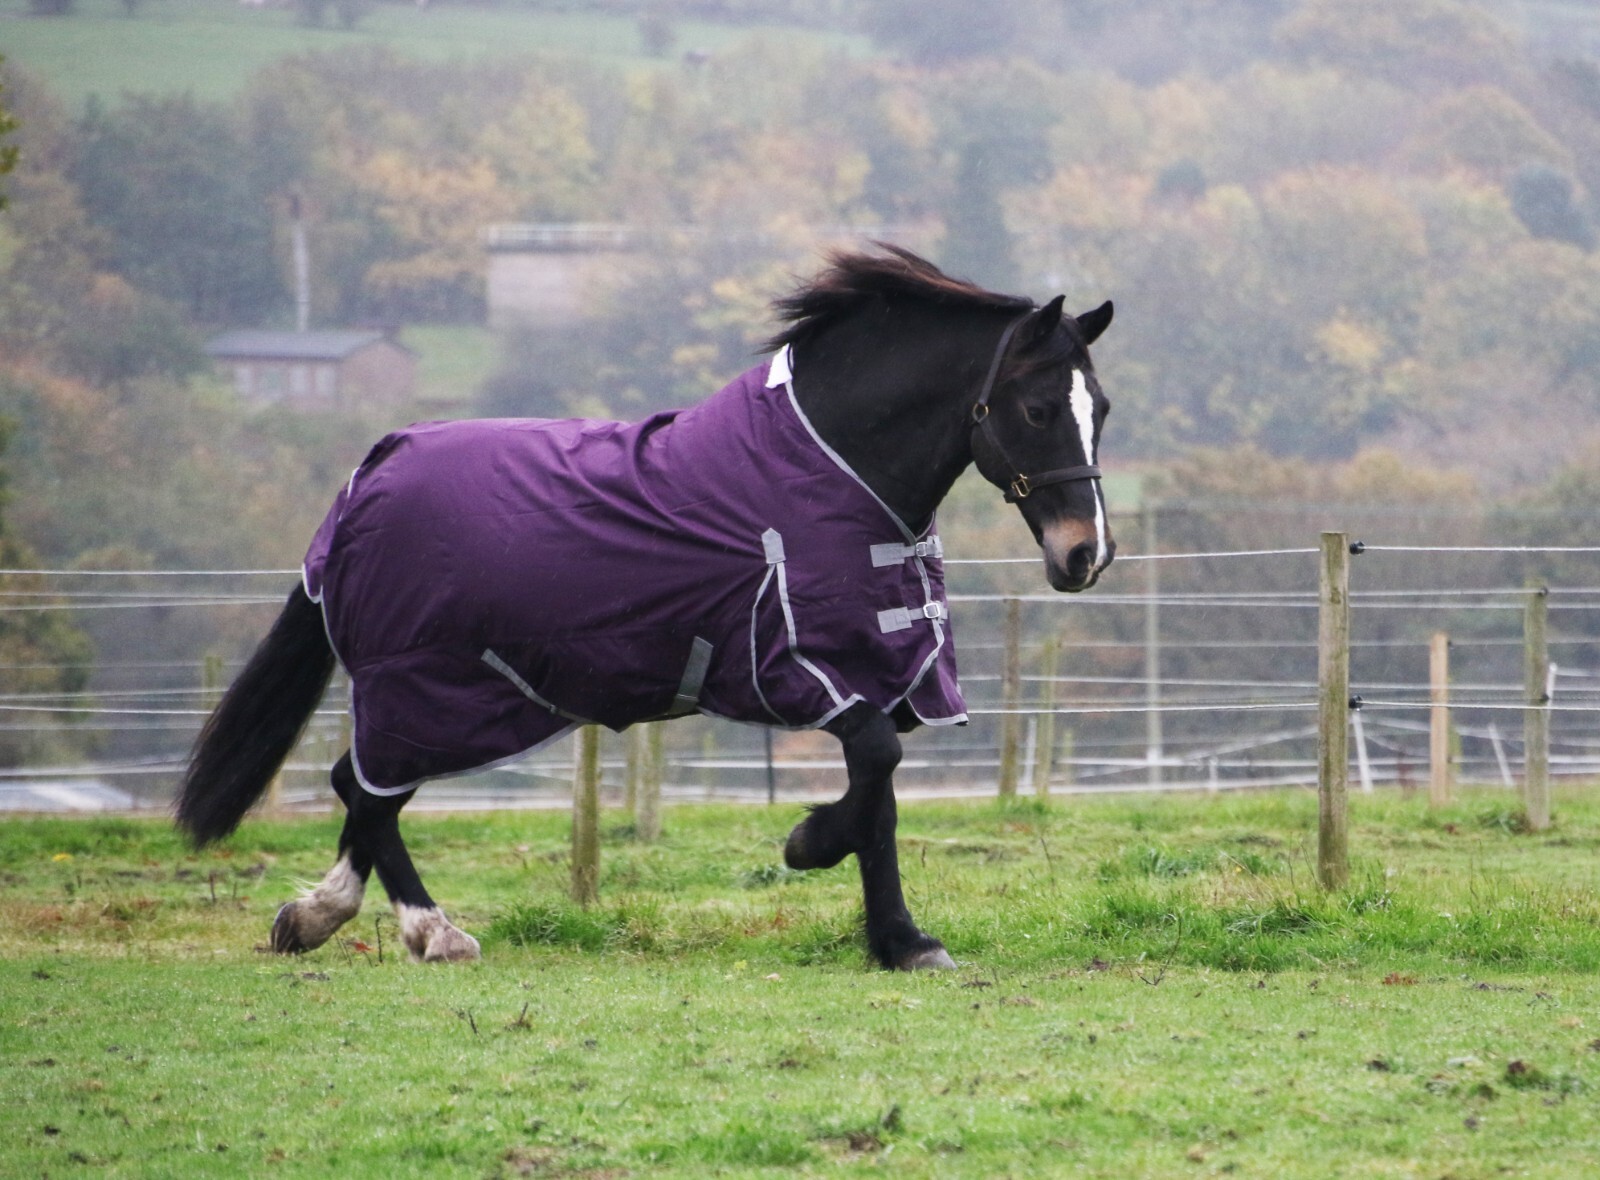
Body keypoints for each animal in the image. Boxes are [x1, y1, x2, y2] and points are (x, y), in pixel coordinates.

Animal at [174, 245, 1115, 971]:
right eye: (1038, 408)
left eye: (1099, 409)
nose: (1086, 554)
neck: (829, 470)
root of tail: (363, 479)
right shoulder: (802, 665)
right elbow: (877, 768)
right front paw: (811, 847)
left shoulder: (878, 665)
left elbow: (880, 792)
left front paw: (900, 940)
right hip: (429, 688)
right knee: (366, 791)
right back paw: (432, 932)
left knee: (361, 788)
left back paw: (315, 916)